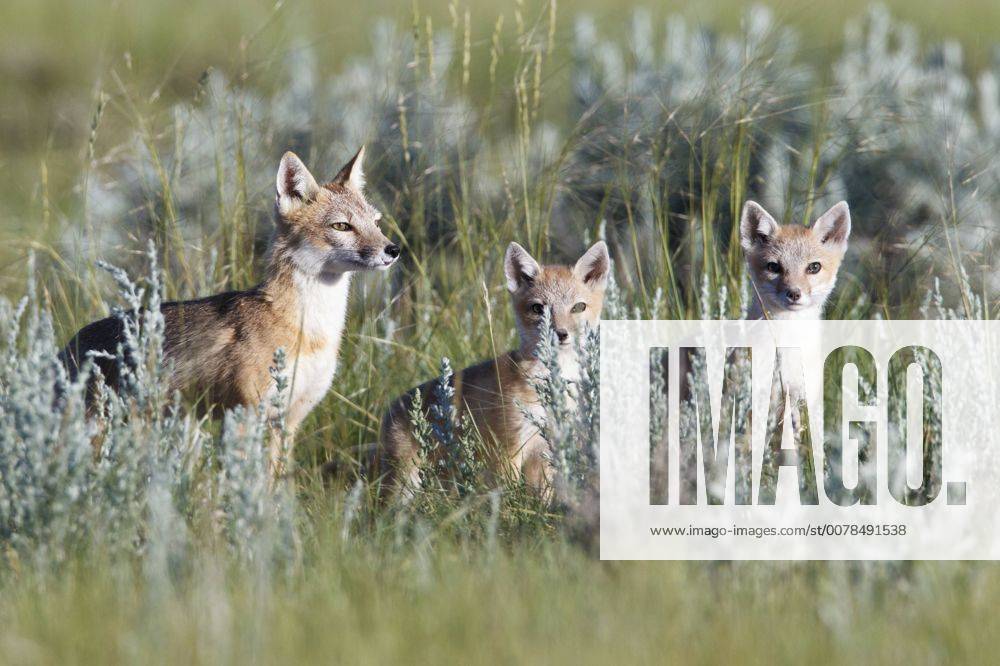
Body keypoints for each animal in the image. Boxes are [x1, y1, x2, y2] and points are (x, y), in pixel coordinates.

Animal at [60, 147, 399, 474]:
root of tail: (69, 344)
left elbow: (276, 484)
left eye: (376, 222)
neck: (310, 330)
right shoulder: (244, 415)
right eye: (342, 226)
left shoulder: (289, 421)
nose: (393, 249)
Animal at [374, 240, 610, 500]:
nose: (560, 333)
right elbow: (507, 497)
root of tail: (391, 408)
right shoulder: (508, 448)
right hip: (405, 485)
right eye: (538, 308)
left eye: (578, 307)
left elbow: (542, 498)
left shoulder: (543, 450)